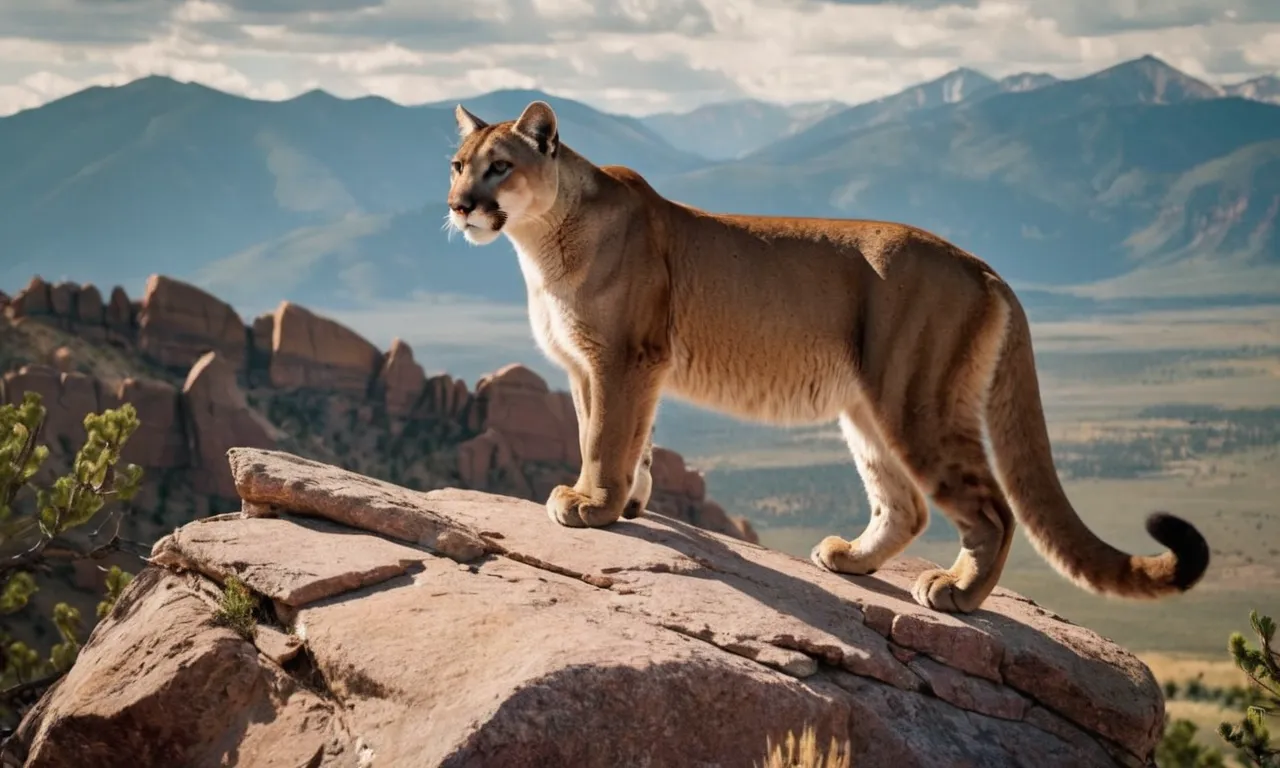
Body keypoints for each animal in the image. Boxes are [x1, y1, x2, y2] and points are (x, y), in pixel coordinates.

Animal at [443, 99, 1209, 613]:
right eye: (457, 166)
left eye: (500, 167)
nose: (457, 207)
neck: (542, 240)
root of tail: (983, 265)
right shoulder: (593, 367)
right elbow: (618, 436)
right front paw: (624, 501)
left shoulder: (623, 359)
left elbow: (605, 437)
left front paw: (591, 504)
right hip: (869, 409)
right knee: (905, 506)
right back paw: (850, 559)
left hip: (917, 400)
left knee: (992, 510)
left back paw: (955, 592)